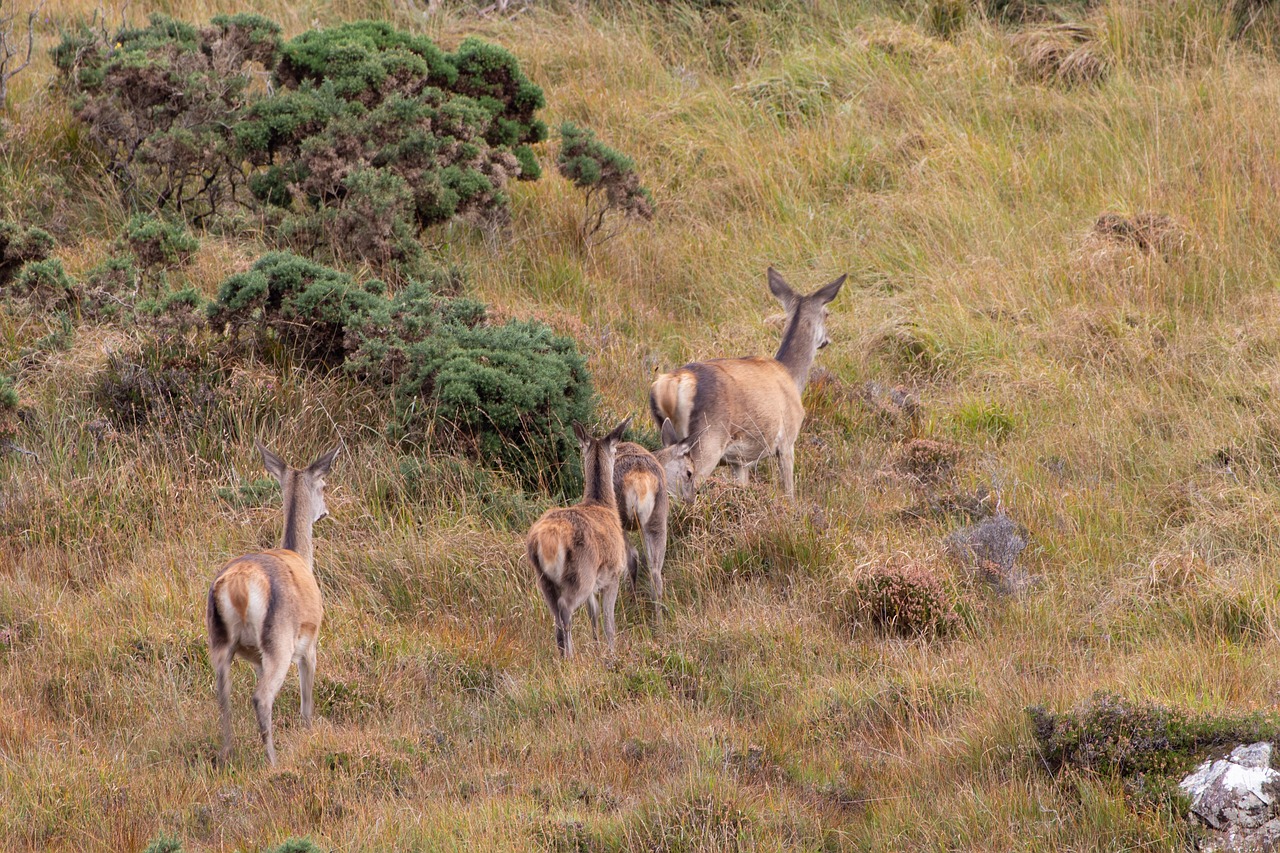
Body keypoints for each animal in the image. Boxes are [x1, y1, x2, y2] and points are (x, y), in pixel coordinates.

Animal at [206, 441, 340, 766]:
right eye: (324, 485)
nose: (325, 512)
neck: (301, 556)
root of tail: (239, 586)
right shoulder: (311, 641)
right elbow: (307, 702)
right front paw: (309, 735)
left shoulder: (257, 658)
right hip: (280, 639)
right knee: (261, 697)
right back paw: (273, 761)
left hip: (219, 639)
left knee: (223, 695)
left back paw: (227, 754)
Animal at [526, 417, 631, 658]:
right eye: (615, 449)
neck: (603, 505)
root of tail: (547, 539)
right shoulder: (613, 574)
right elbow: (609, 621)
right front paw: (611, 654)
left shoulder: (594, 588)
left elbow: (594, 615)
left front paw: (597, 647)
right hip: (583, 572)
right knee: (565, 609)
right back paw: (570, 657)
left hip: (543, 578)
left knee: (556, 615)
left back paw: (562, 656)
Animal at [613, 417, 694, 626]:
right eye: (690, 472)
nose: (691, 500)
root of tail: (640, 478)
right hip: (658, 517)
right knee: (655, 573)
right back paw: (658, 622)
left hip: (619, 514)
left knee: (631, 557)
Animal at [649, 267, 846, 498]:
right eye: (827, 313)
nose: (827, 340)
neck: (792, 377)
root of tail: (672, 384)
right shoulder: (787, 440)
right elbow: (789, 492)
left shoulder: (740, 461)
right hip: (707, 440)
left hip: (666, 433)